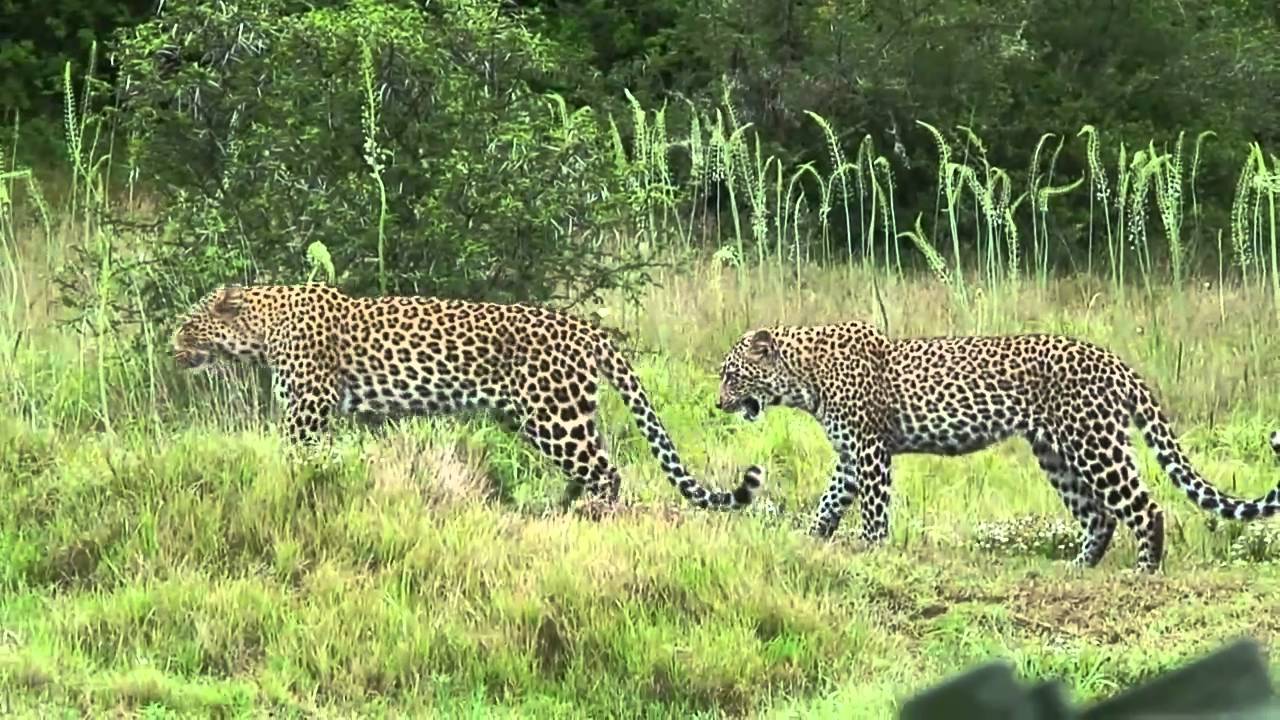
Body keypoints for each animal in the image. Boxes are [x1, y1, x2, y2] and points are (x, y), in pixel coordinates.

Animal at [171, 282, 764, 511]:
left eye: (188, 326)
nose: (168, 345)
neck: (261, 331)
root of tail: (588, 330)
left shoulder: (308, 409)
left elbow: (292, 456)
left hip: (555, 418)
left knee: (608, 473)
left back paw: (590, 517)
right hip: (556, 416)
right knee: (595, 466)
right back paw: (560, 510)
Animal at [715, 321, 1280, 572]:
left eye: (730, 374)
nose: (719, 403)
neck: (802, 378)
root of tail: (1115, 361)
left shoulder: (870, 450)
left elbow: (874, 509)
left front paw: (871, 548)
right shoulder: (853, 455)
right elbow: (831, 498)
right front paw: (814, 536)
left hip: (1093, 442)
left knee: (1144, 506)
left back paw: (1145, 570)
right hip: (1056, 452)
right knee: (1099, 516)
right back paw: (1077, 568)